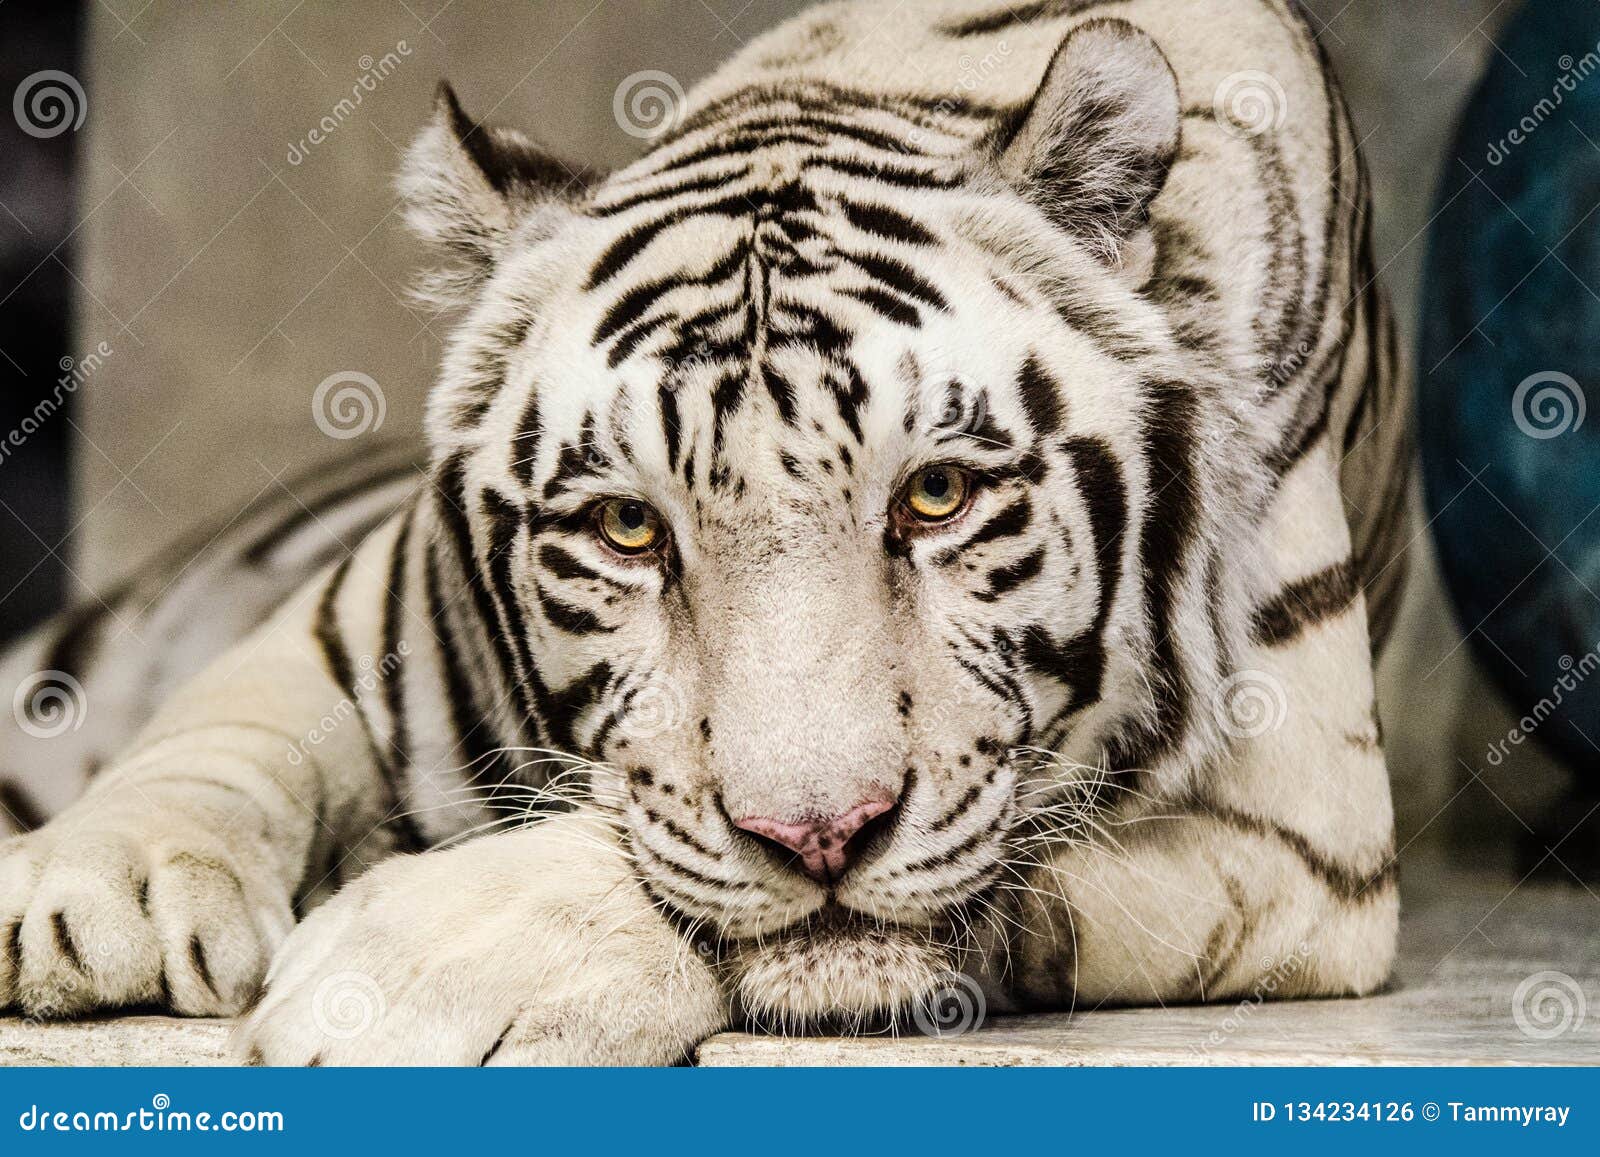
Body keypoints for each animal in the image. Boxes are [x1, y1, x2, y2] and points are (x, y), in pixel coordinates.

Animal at [0, 0, 1408, 1065]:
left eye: (935, 497)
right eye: (628, 526)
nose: (822, 834)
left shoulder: (1303, 838)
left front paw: (405, 972)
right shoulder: (346, 622)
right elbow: (217, 739)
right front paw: (100, 897)